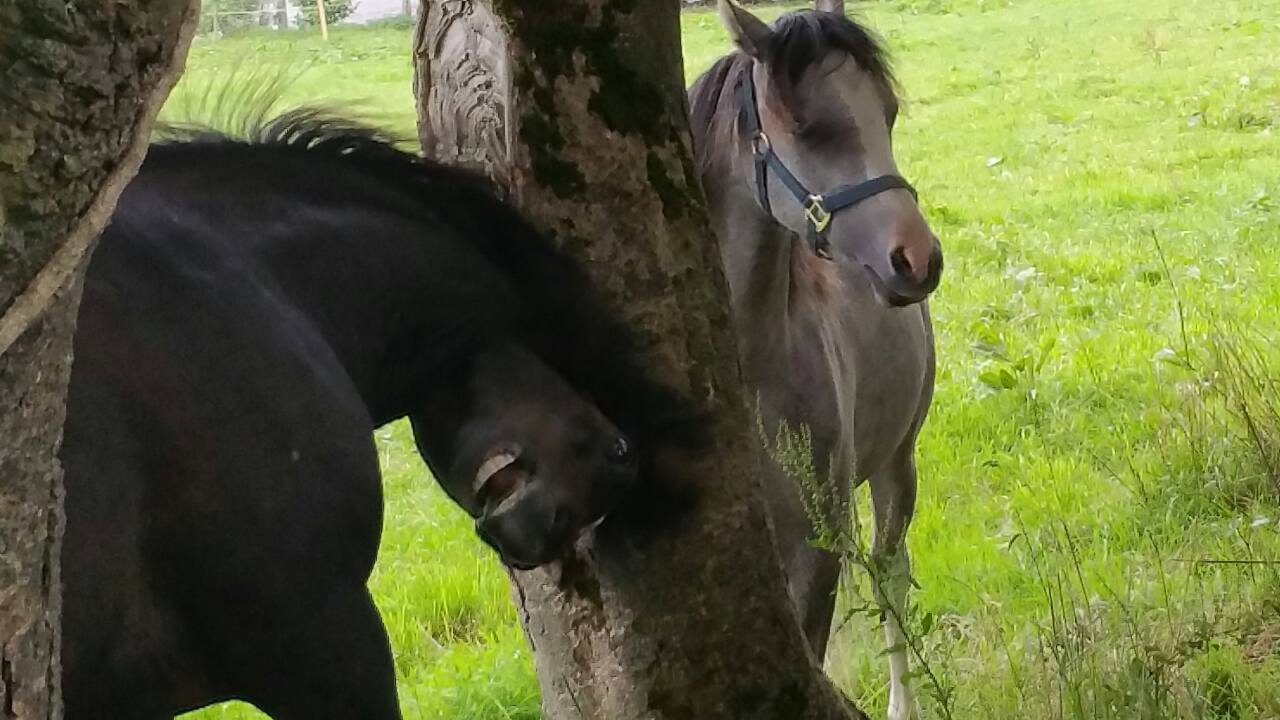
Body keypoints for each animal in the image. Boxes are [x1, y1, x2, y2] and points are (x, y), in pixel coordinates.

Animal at [689, 2, 943, 718]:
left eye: (888, 112)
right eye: (808, 127)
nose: (918, 259)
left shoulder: (817, 542)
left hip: (896, 463)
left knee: (889, 575)